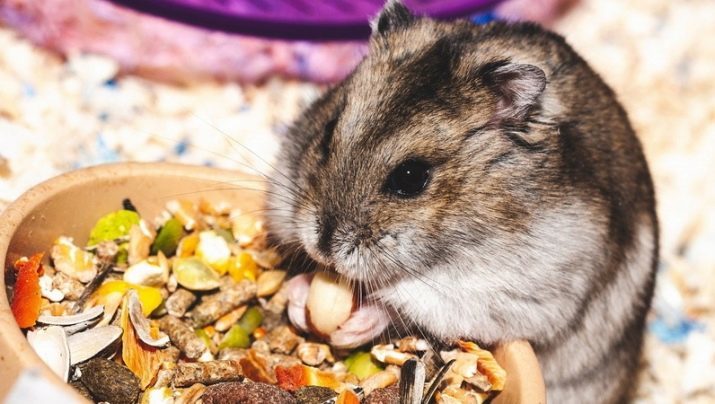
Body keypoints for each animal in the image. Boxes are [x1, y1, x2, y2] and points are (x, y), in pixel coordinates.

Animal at [264, 1, 660, 402]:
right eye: (329, 133)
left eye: (411, 178)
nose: (323, 247)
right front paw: (298, 298)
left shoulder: (497, 296)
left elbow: (402, 304)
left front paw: (356, 322)